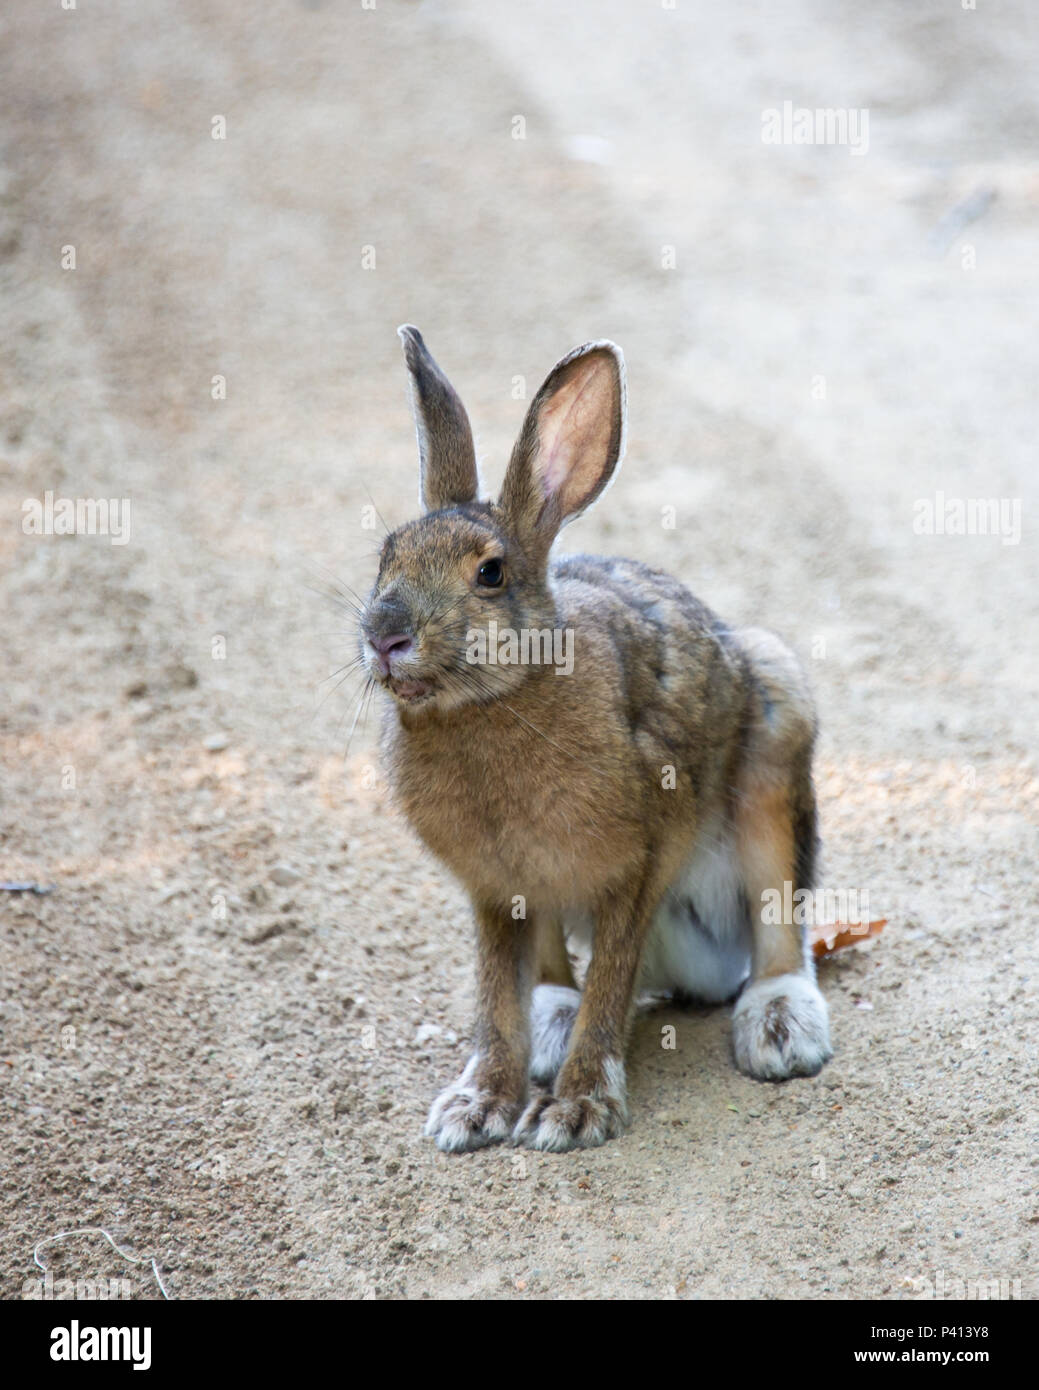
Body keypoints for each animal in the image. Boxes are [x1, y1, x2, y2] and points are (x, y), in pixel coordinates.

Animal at [358, 325, 832, 1152]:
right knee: (550, 975)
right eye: (386, 556)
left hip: (775, 741)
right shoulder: (492, 887)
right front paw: (474, 1108)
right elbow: (496, 995)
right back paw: (551, 1023)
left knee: (778, 923)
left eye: (490, 573)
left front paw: (575, 1111)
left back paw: (778, 1030)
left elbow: (609, 983)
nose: (384, 637)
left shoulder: (636, 867)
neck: (495, 700)